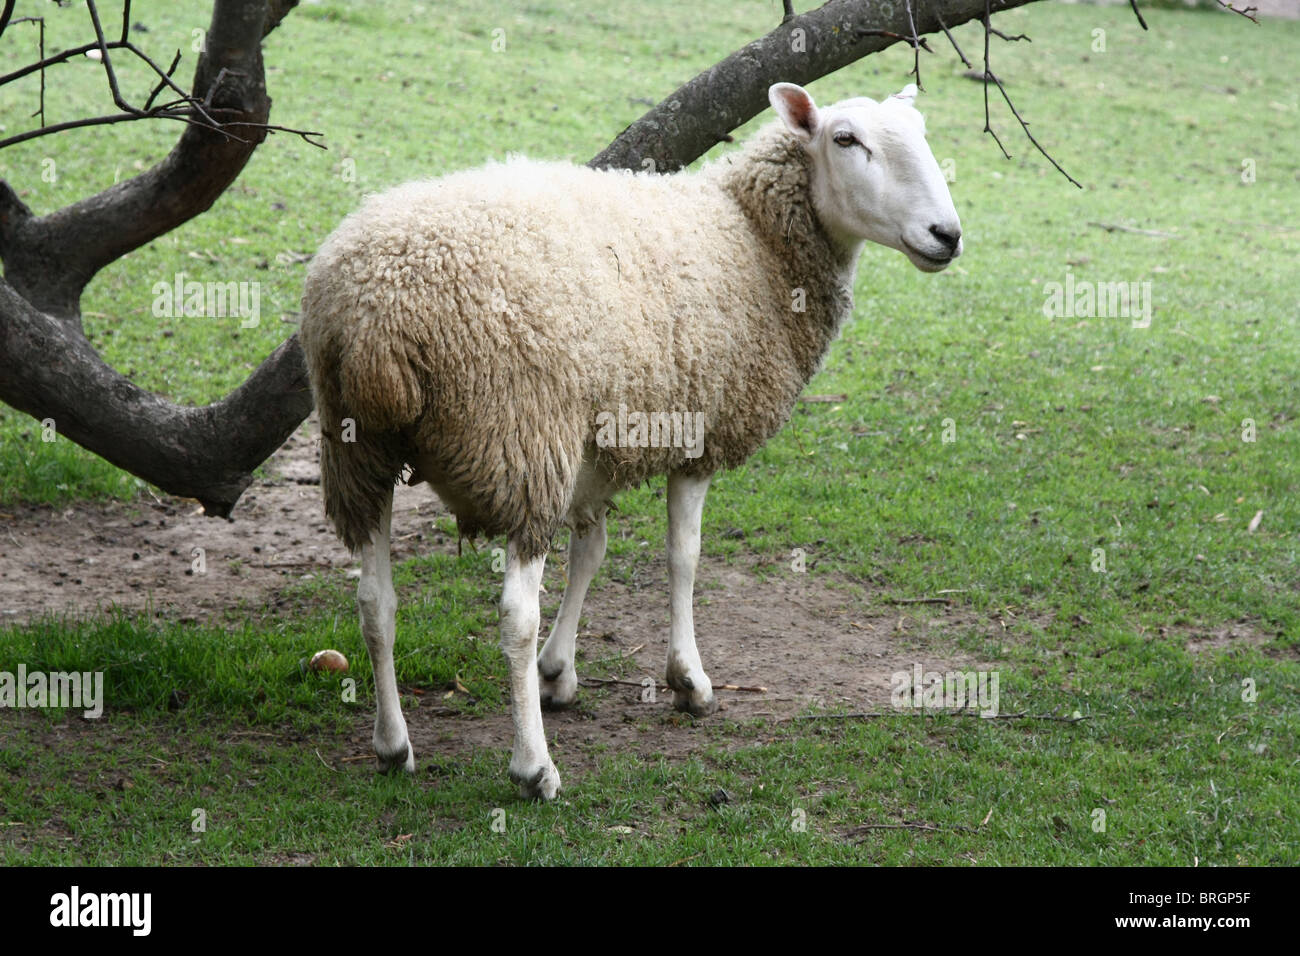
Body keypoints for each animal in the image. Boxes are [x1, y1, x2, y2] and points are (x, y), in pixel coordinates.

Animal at [298, 82, 963, 800]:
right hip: (522, 440)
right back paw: (533, 767)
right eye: (845, 139)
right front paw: (688, 680)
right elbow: (684, 557)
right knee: (513, 615)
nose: (947, 235)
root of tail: (376, 315)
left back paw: (393, 745)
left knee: (375, 604)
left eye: (923, 134)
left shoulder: (598, 444)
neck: (753, 238)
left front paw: (559, 671)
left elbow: (591, 552)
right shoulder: (697, 431)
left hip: (357, 450)